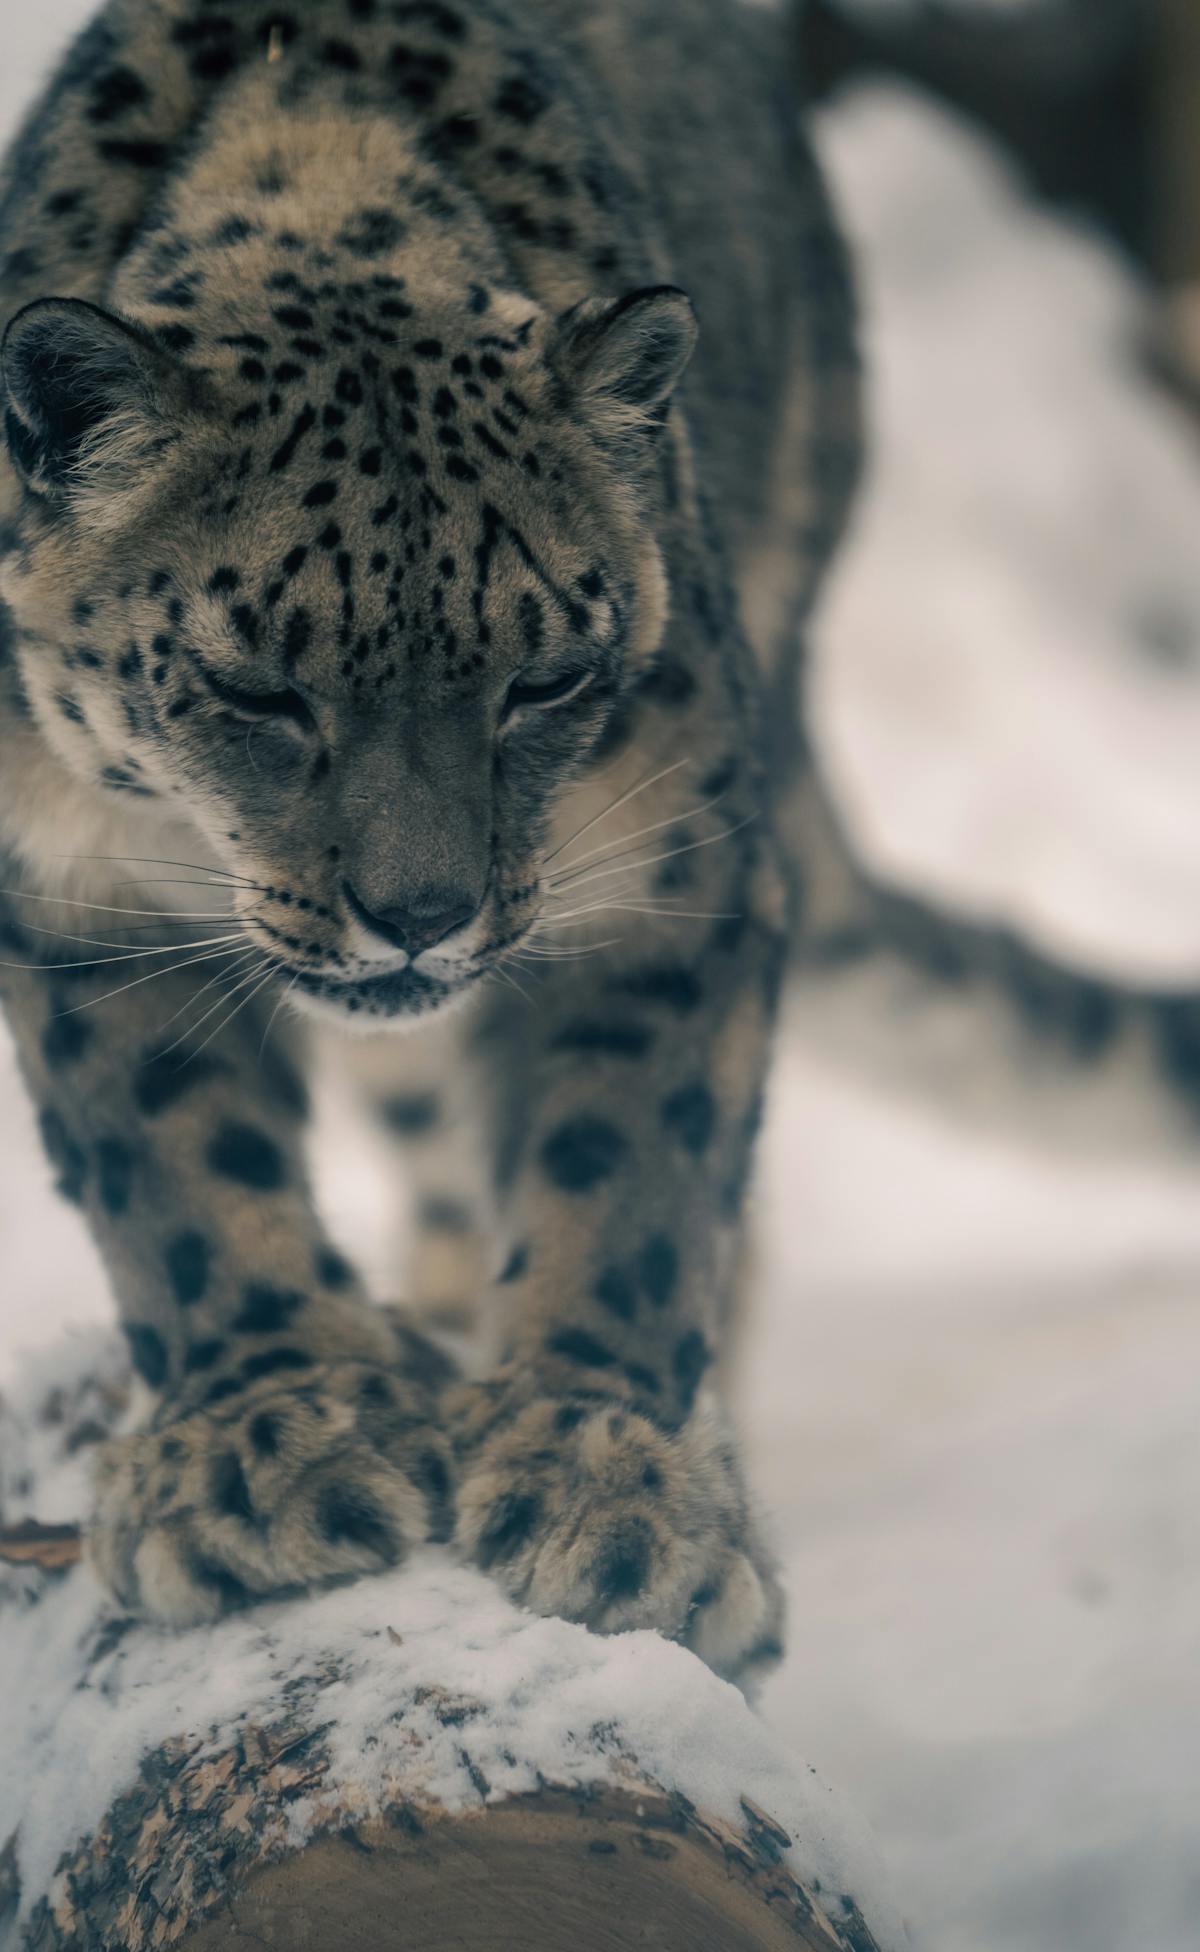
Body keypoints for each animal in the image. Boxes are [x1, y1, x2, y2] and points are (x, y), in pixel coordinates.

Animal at [2, 0, 1198, 1688]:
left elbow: (630, 1172)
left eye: (547, 678)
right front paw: (268, 1442)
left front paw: (606, 1479)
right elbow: (179, 1171)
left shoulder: (665, 885)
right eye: (255, 689)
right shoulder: (82, 892)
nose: (421, 914)